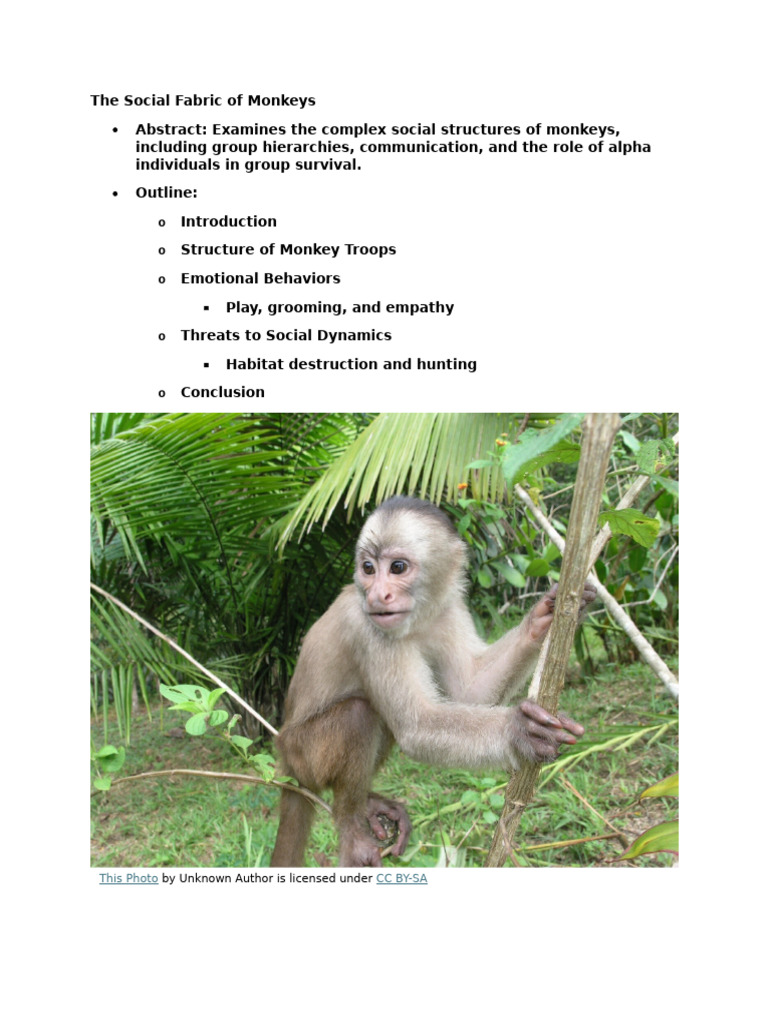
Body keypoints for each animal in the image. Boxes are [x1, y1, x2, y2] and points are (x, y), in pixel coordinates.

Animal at [271, 496, 596, 867]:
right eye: (368, 568)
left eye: (397, 568)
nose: (377, 594)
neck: (417, 618)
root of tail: (283, 757)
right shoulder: (369, 628)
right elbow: (416, 727)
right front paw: (519, 731)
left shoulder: (449, 609)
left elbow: (472, 691)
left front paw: (544, 616)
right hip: (302, 756)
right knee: (360, 713)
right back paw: (351, 825)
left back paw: (368, 802)